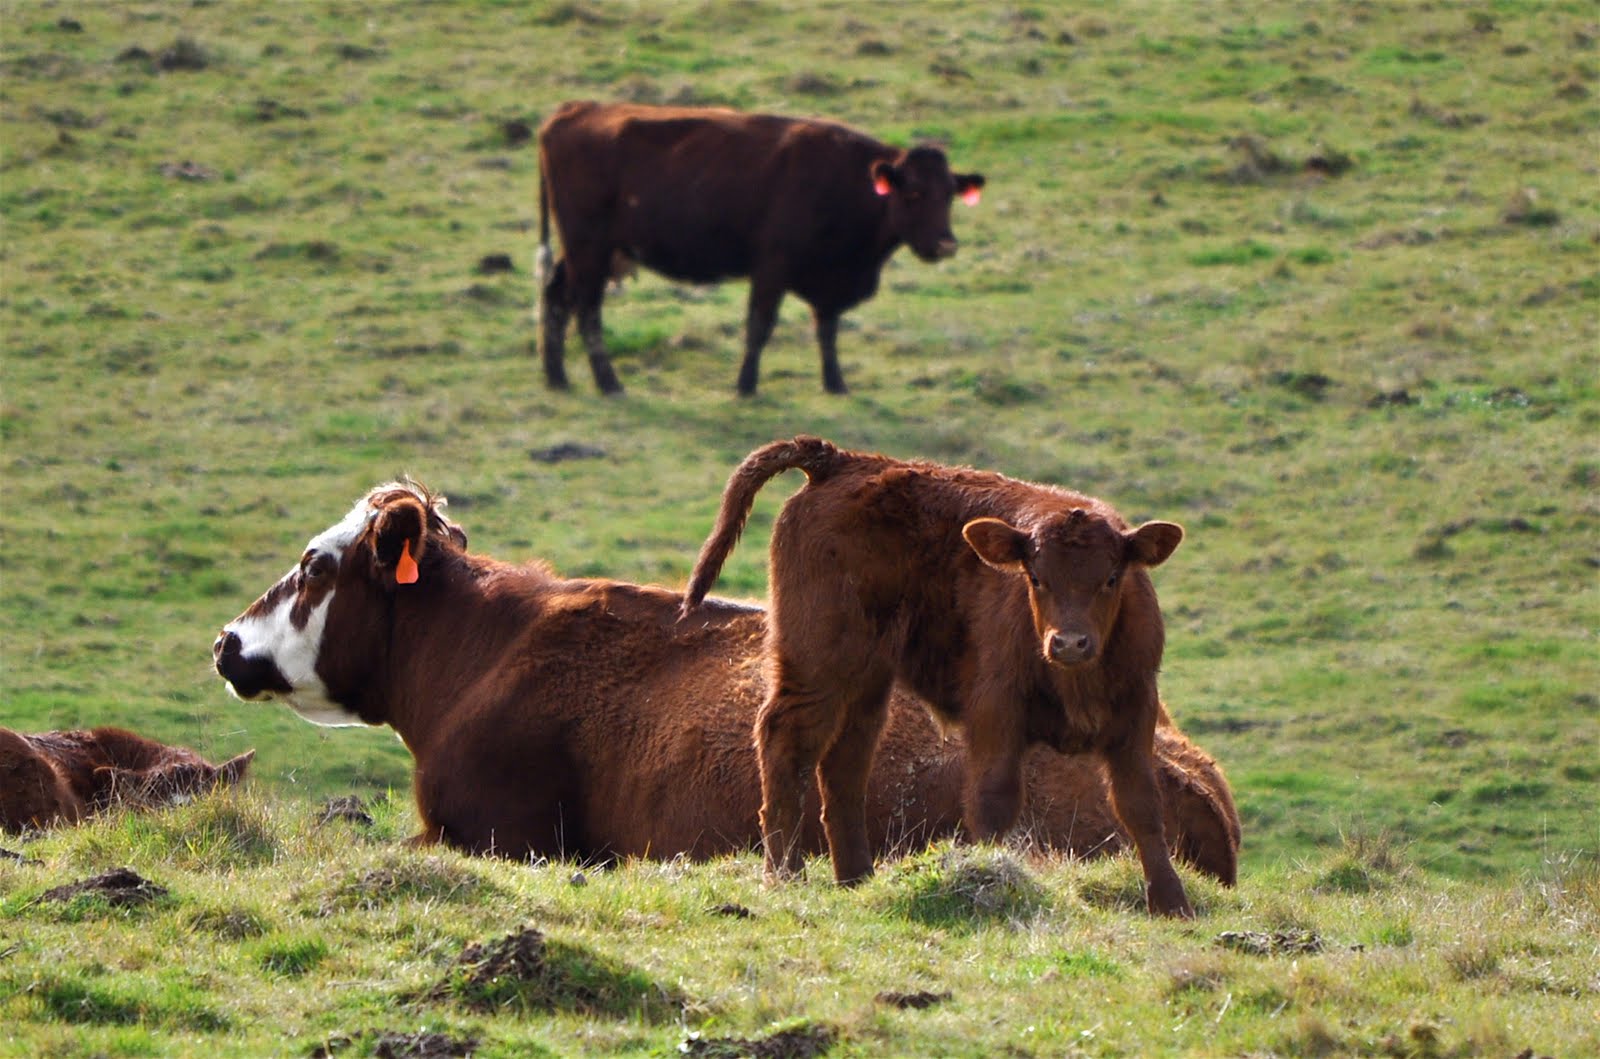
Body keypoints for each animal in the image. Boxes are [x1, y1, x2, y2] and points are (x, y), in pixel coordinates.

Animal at [536, 100, 985, 396]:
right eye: (912, 193)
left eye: (949, 194)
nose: (945, 244)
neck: (847, 181)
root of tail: (574, 110)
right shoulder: (772, 268)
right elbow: (759, 326)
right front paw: (746, 385)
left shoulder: (827, 282)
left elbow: (827, 331)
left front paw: (835, 383)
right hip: (590, 248)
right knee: (587, 310)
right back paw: (609, 383)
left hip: (585, 252)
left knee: (557, 296)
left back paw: (557, 377)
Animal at [682, 437, 1197, 916]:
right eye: (1035, 577)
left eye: (1111, 578)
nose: (1069, 642)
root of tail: (844, 461)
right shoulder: (995, 713)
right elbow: (994, 801)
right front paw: (992, 876)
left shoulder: (1135, 713)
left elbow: (1140, 806)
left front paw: (1172, 902)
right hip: (817, 663)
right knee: (789, 742)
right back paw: (786, 873)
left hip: (869, 681)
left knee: (845, 762)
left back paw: (857, 877)